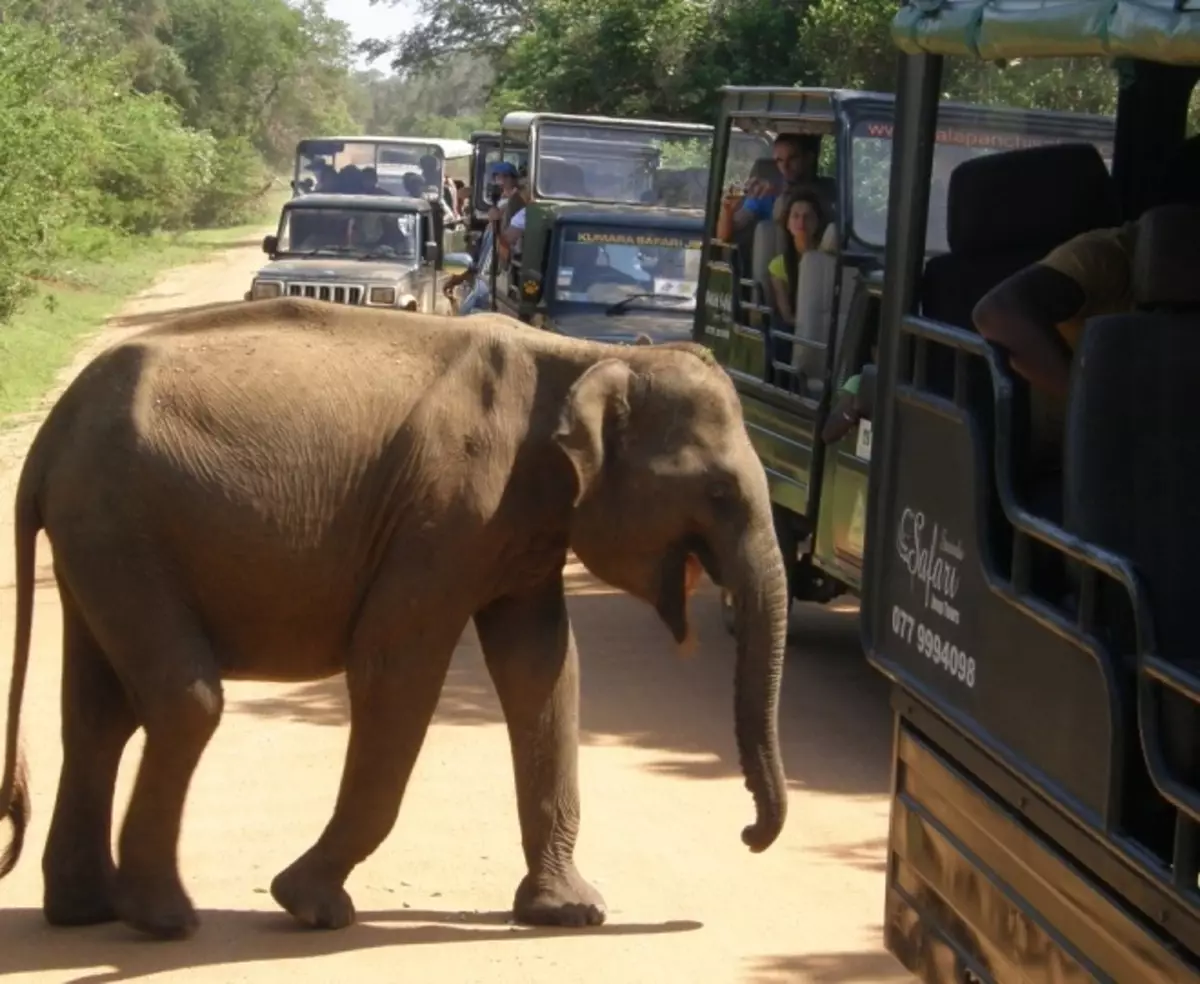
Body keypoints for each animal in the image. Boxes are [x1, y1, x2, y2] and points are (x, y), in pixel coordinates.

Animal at [0, 297, 787, 936]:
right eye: (719, 492)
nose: (747, 835)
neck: (583, 356)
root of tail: (50, 436)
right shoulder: (448, 511)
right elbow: (396, 664)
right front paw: (310, 906)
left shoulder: (523, 530)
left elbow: (544, 668)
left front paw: (569, 914)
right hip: (119, 526)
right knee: (183, 702)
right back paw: (164, 921)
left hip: (98, 537)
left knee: (99, 712)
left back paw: (87, 912)